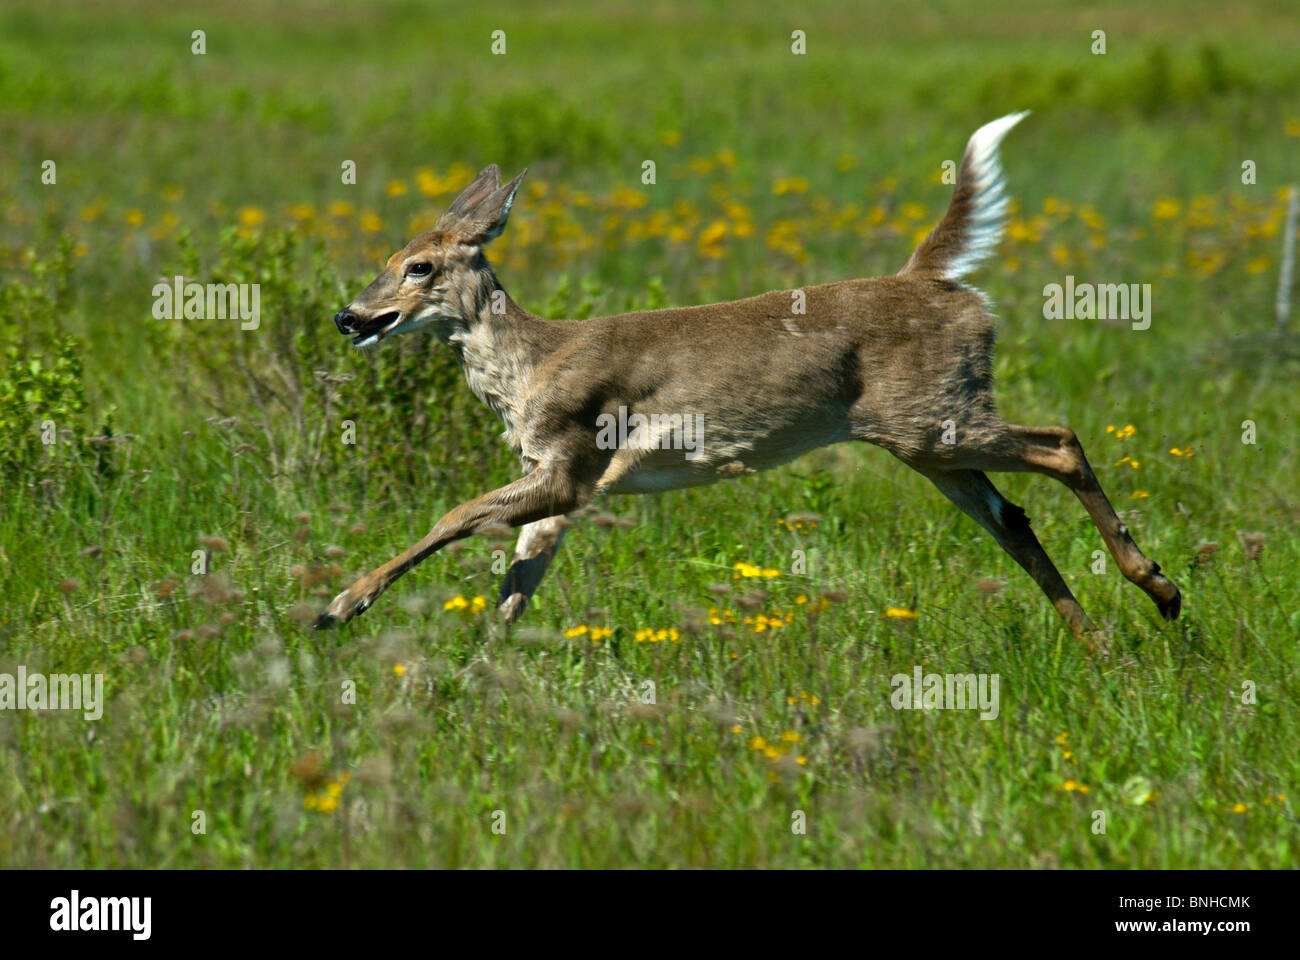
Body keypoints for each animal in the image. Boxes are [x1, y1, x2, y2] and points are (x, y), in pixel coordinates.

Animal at [314, 112, 1182, 645]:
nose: (350, 317)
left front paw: (339, 606)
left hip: (933, 421)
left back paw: (1158, 589)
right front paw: (473, 670)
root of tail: (938, 282)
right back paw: (1107, 638)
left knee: (1061, 441)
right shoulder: (563, 482)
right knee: (1014, 515)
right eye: (389, 256)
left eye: (419, 266)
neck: (531, 364)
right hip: (930, 439)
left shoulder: (574, 460)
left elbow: (455, 517)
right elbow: (516, 583)